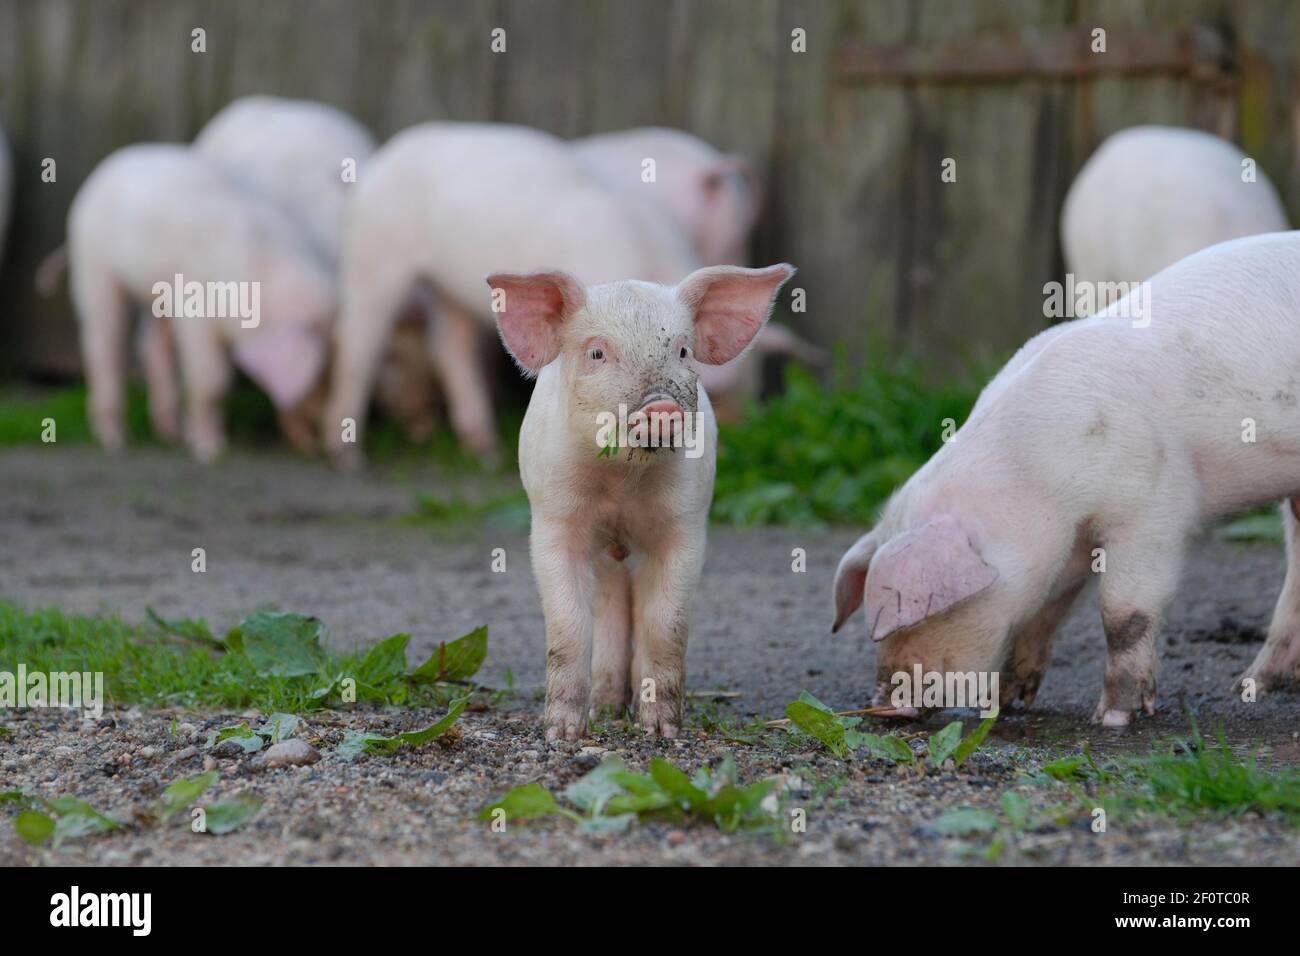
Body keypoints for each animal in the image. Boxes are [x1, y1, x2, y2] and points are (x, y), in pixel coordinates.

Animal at [66, 144, 335, 461]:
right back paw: (114, 441)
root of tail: (110, 163)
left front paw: (305, 445)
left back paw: (168, 435)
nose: (322, 440)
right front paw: (210, 452)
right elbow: (212, 379)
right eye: (321, 375)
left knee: (152, 348)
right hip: (93, 266)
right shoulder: (196, 315)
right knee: (104, 345)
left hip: (156, 294)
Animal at [324, 122, 698, 468]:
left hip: (446, 286)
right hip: (375, 250)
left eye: (684, 352)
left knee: (449, 344)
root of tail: (381, 162)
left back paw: (486, 450)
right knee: (357, 339)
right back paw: (348, 458)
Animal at [493, 262, 794, 741]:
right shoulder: (553, 519)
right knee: (610, 606)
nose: (661, 407)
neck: (621, 483)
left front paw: (662, 730)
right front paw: (562, 734)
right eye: (597, 353)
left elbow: (666, 623)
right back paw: (605, 710)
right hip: (604, 558)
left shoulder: (687, 524)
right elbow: (568, 625)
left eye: (684, 350)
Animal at [832, 230, 1300, 727]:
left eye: (925, 613)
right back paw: (1252, 686)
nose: (884, 706)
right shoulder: (1068, 544)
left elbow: (1123, 611)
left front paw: (1112, 718)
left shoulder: (1152, 507)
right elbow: (1045, 611)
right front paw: (1006, 702)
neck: (1037, 475)